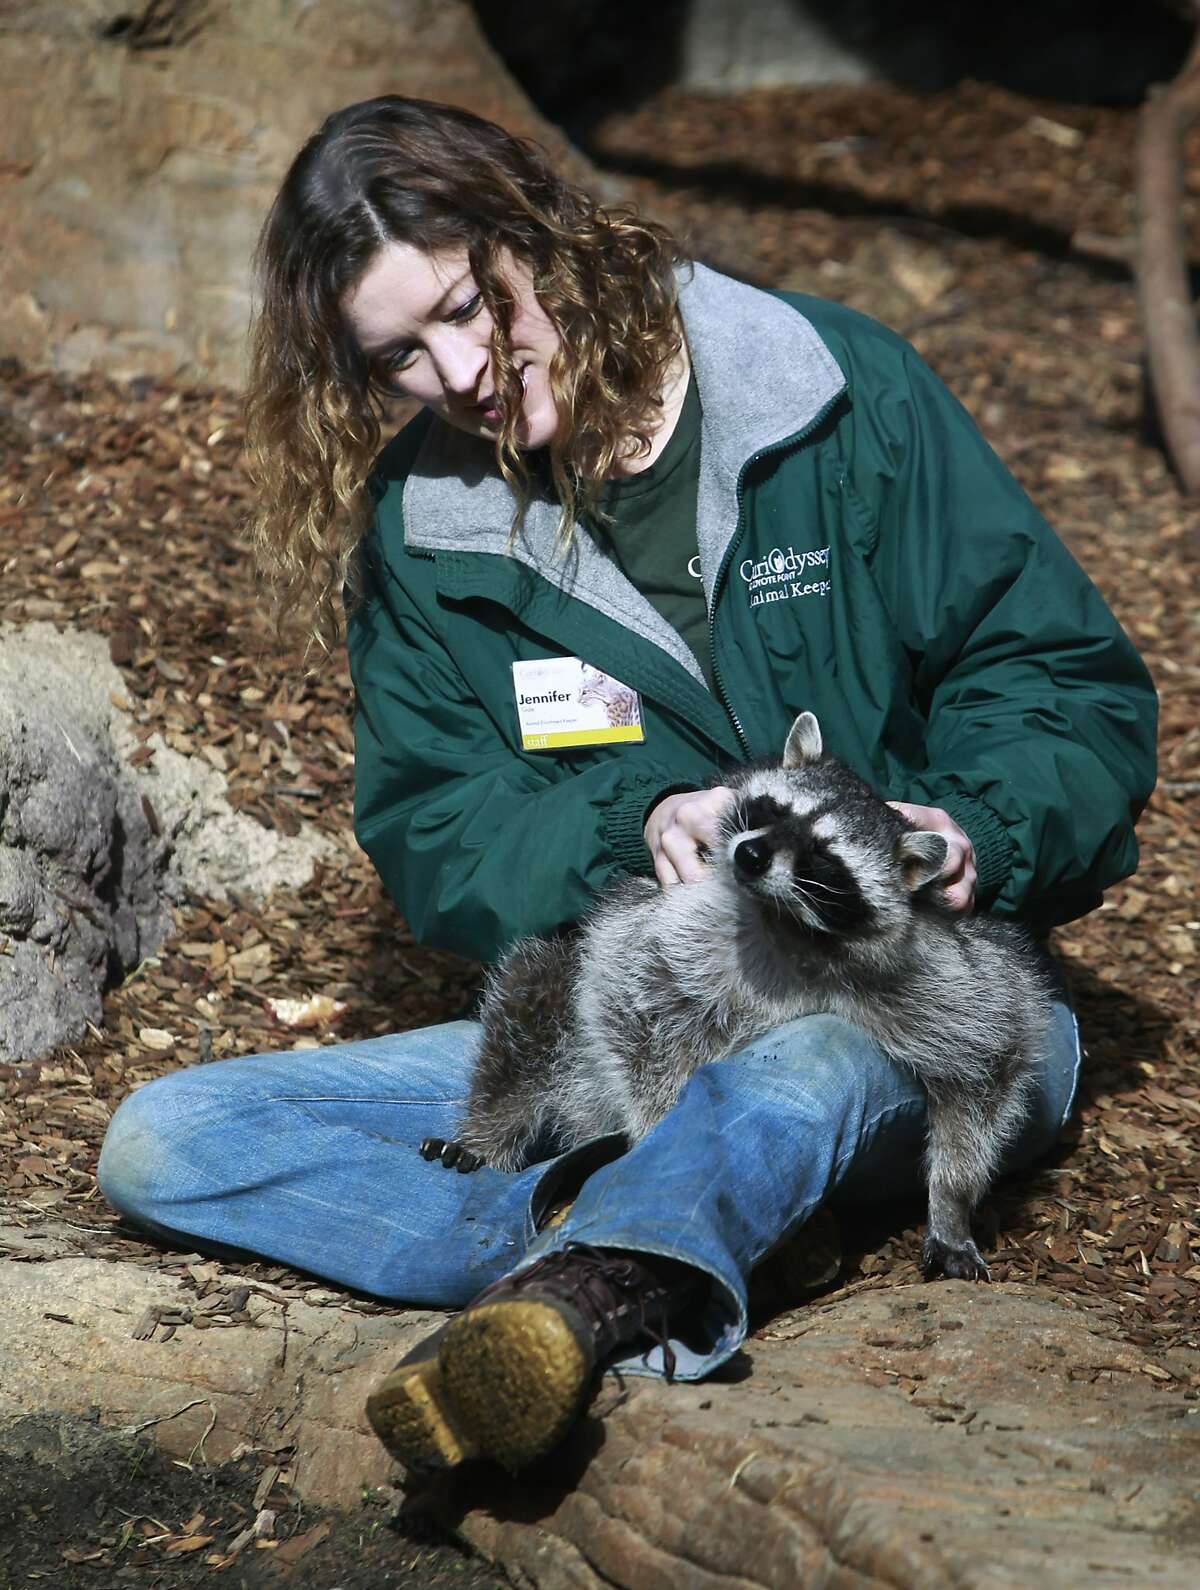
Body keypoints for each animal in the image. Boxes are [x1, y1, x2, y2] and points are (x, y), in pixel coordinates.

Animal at [422, 712, 1055, 1281]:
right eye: (773, 811)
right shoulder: (671, 918)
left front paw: (952, 1201)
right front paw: (658, 1129)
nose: (750, 854)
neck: (792, 924)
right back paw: (490, 1127)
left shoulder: (943, 973)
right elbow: (634, 1004)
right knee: (532, 1012)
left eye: (823, 855)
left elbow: (988, 1062)